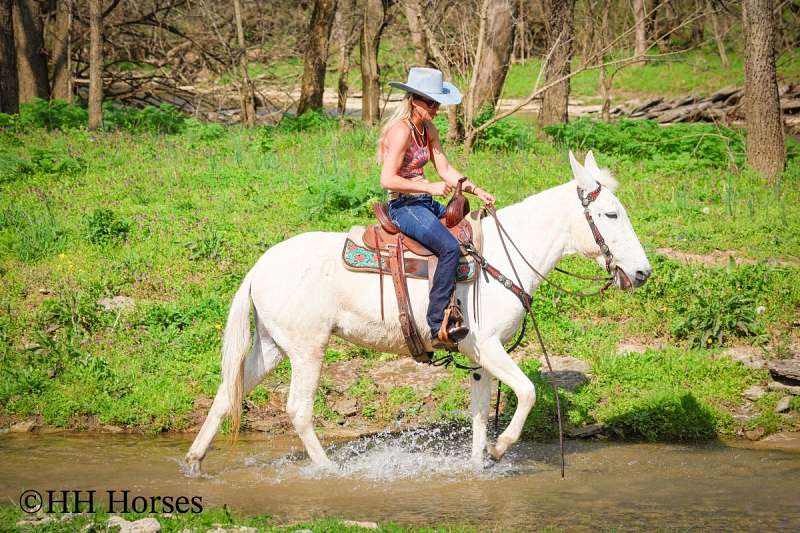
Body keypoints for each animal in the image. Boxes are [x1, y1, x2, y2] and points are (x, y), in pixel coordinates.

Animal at [184, 151, 652, 475]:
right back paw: (329, 470)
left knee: (228, 393)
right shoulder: (488, 346)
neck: (501, 258)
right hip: (306, 349)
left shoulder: (478, 358)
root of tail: (258, 267)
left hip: (271, 345)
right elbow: (528, 392)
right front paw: (500, 449)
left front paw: (479, 464)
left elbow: (480, 415)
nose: (642, 272)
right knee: (298, 409)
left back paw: (194, 460)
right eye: (611, 213)